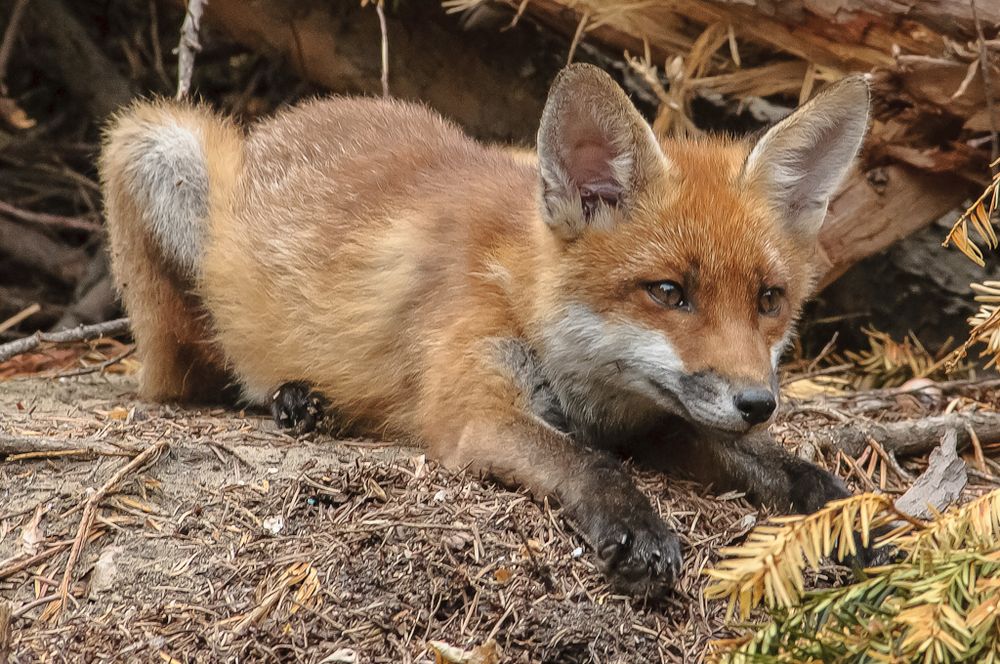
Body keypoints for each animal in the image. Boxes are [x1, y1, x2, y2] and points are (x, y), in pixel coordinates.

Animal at [99, 64, 870, 593]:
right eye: (669, 292)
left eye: (769, 299)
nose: (758, 403)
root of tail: (288, 119)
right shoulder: (476, 412)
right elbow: (586, 463)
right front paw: (637, 525)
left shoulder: (659, 421)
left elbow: (772, 463)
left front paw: (844, 512)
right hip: (156, 147)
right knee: (201, 373)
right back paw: (291, 396)